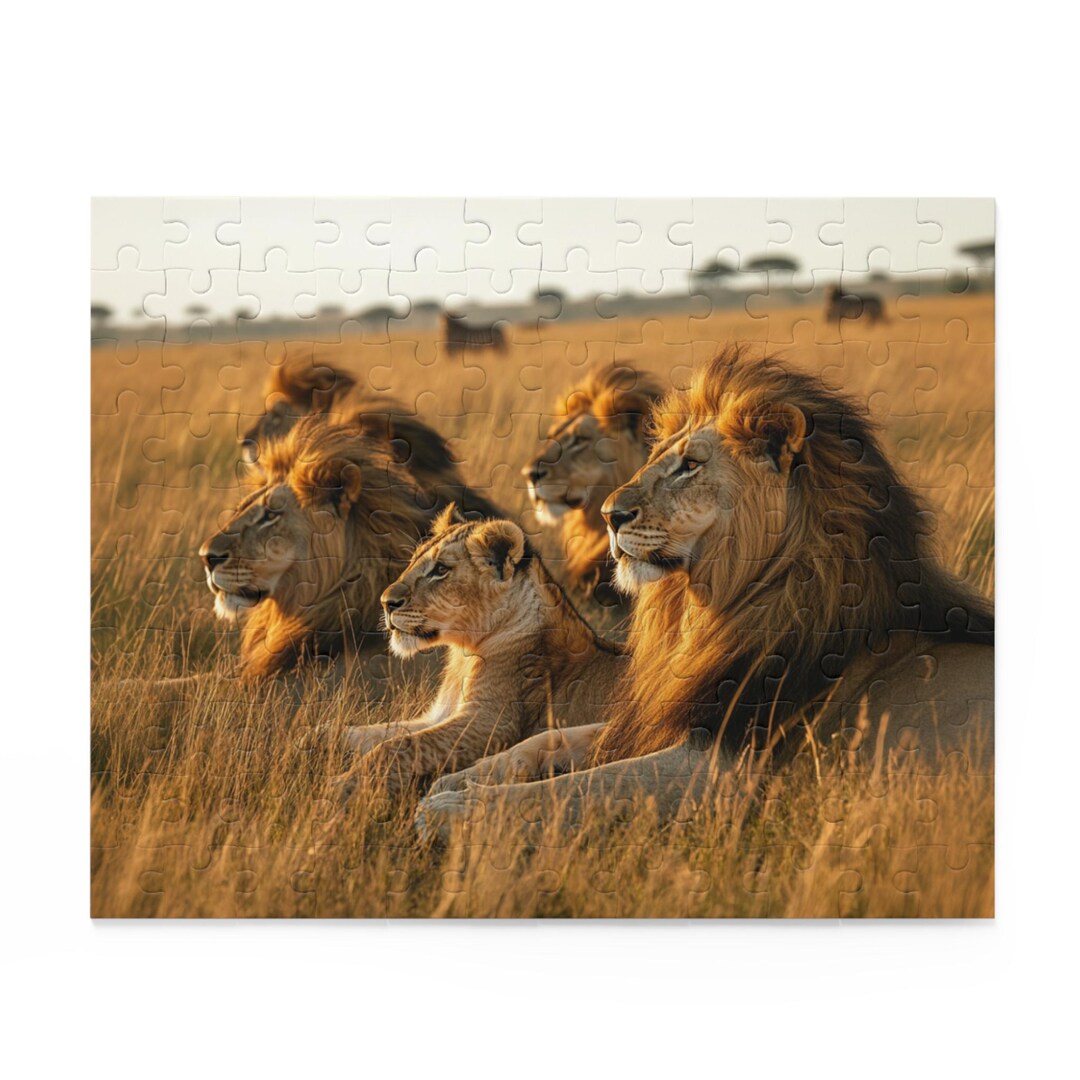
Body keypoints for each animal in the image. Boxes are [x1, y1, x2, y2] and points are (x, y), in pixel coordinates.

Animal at [338, 505, 625, 798]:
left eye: (440, 569)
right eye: (414, 560)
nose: (386, 602)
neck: (464, 653)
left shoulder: (491, 722)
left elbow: (396, 746)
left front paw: (343, 786)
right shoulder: (438, 715)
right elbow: (367, 733)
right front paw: (326, 737)